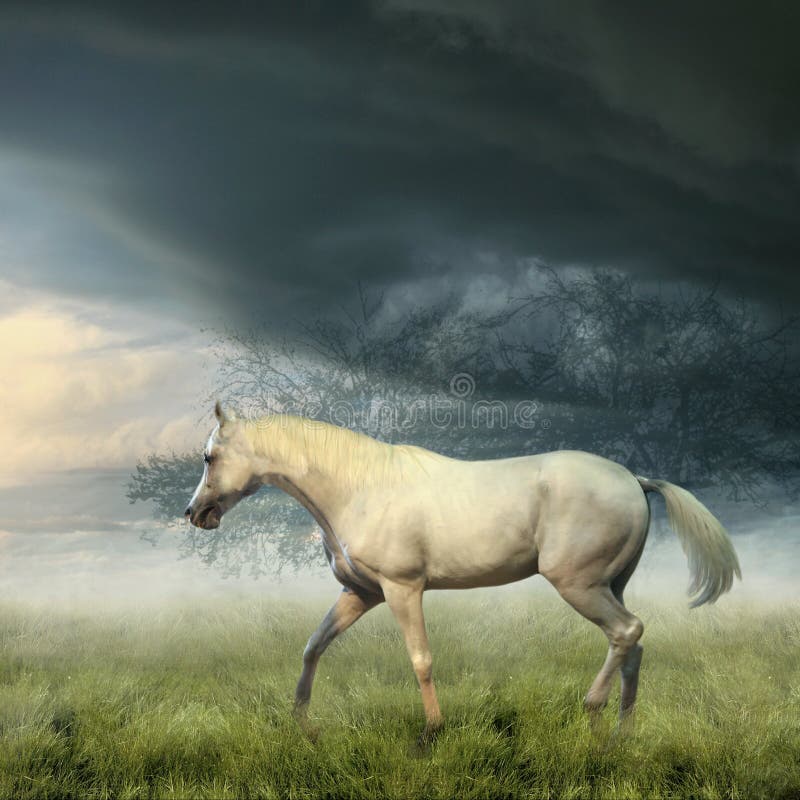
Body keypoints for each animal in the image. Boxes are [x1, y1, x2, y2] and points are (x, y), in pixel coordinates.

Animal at [185, 402, 741, 742]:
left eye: (210, 457)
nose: (195, 513)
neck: (359, 488)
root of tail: (634, 479)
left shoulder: (402, 589)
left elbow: (421, 659)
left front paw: (431, 731)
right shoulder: (361, 593)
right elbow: (313, 646)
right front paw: (303, 724)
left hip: (579, 585)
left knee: (627, 631)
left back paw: (591, 708)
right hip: (611, 585)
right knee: (631, 645)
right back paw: (622, 733)